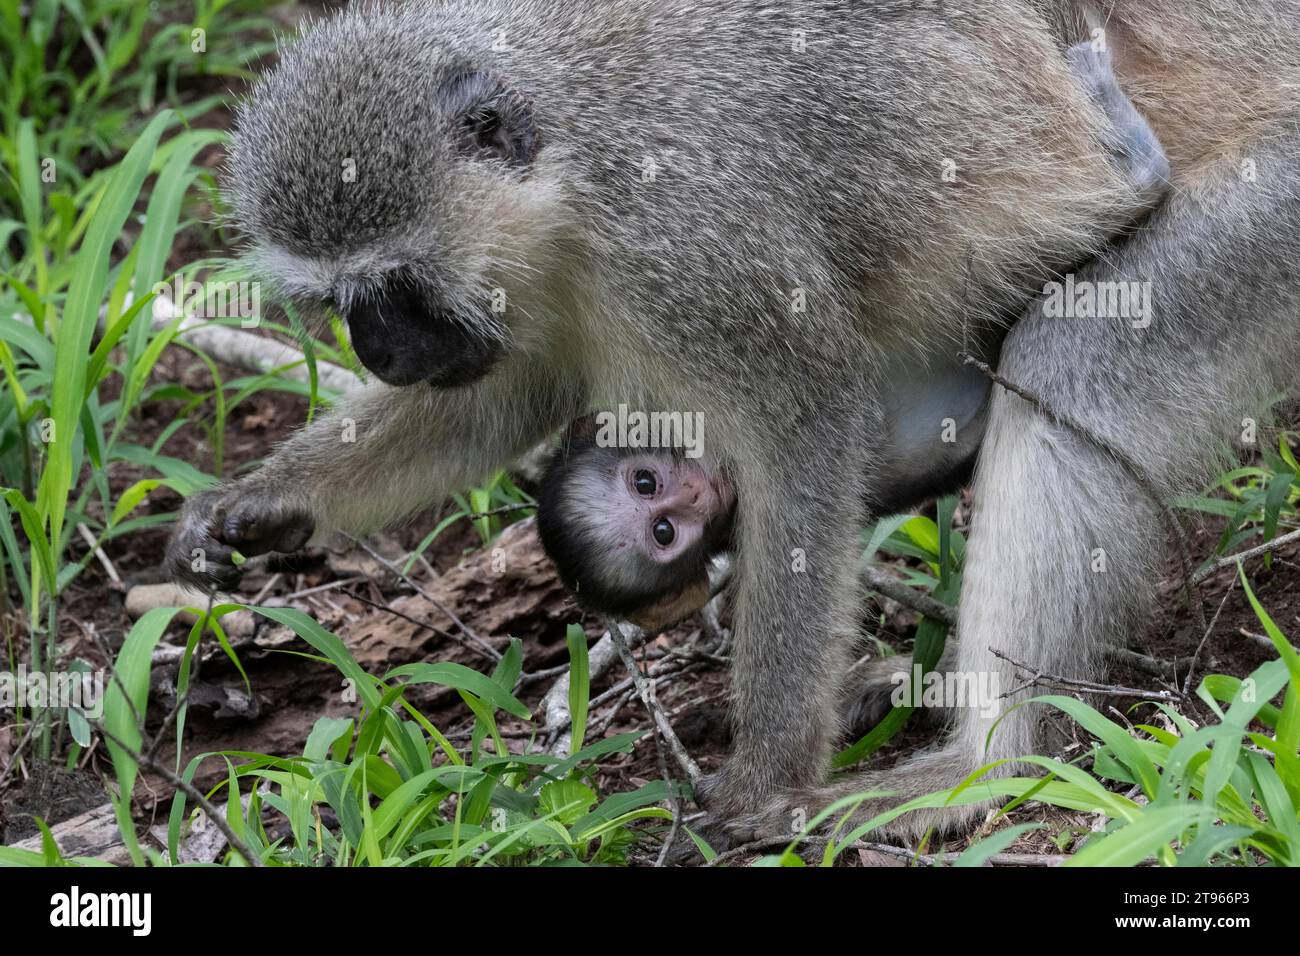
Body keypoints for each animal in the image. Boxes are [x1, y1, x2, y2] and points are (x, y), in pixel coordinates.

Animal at [166, 0, 1300, 848]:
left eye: (391, 288)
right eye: (336, 303)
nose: (378, 353)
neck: (573, 159)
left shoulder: (692, 243)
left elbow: (808, 424)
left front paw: (764, 777)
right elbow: (500, 397)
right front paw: (259, 506)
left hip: (1269, 207)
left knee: (1076, 363)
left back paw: (984, 766)